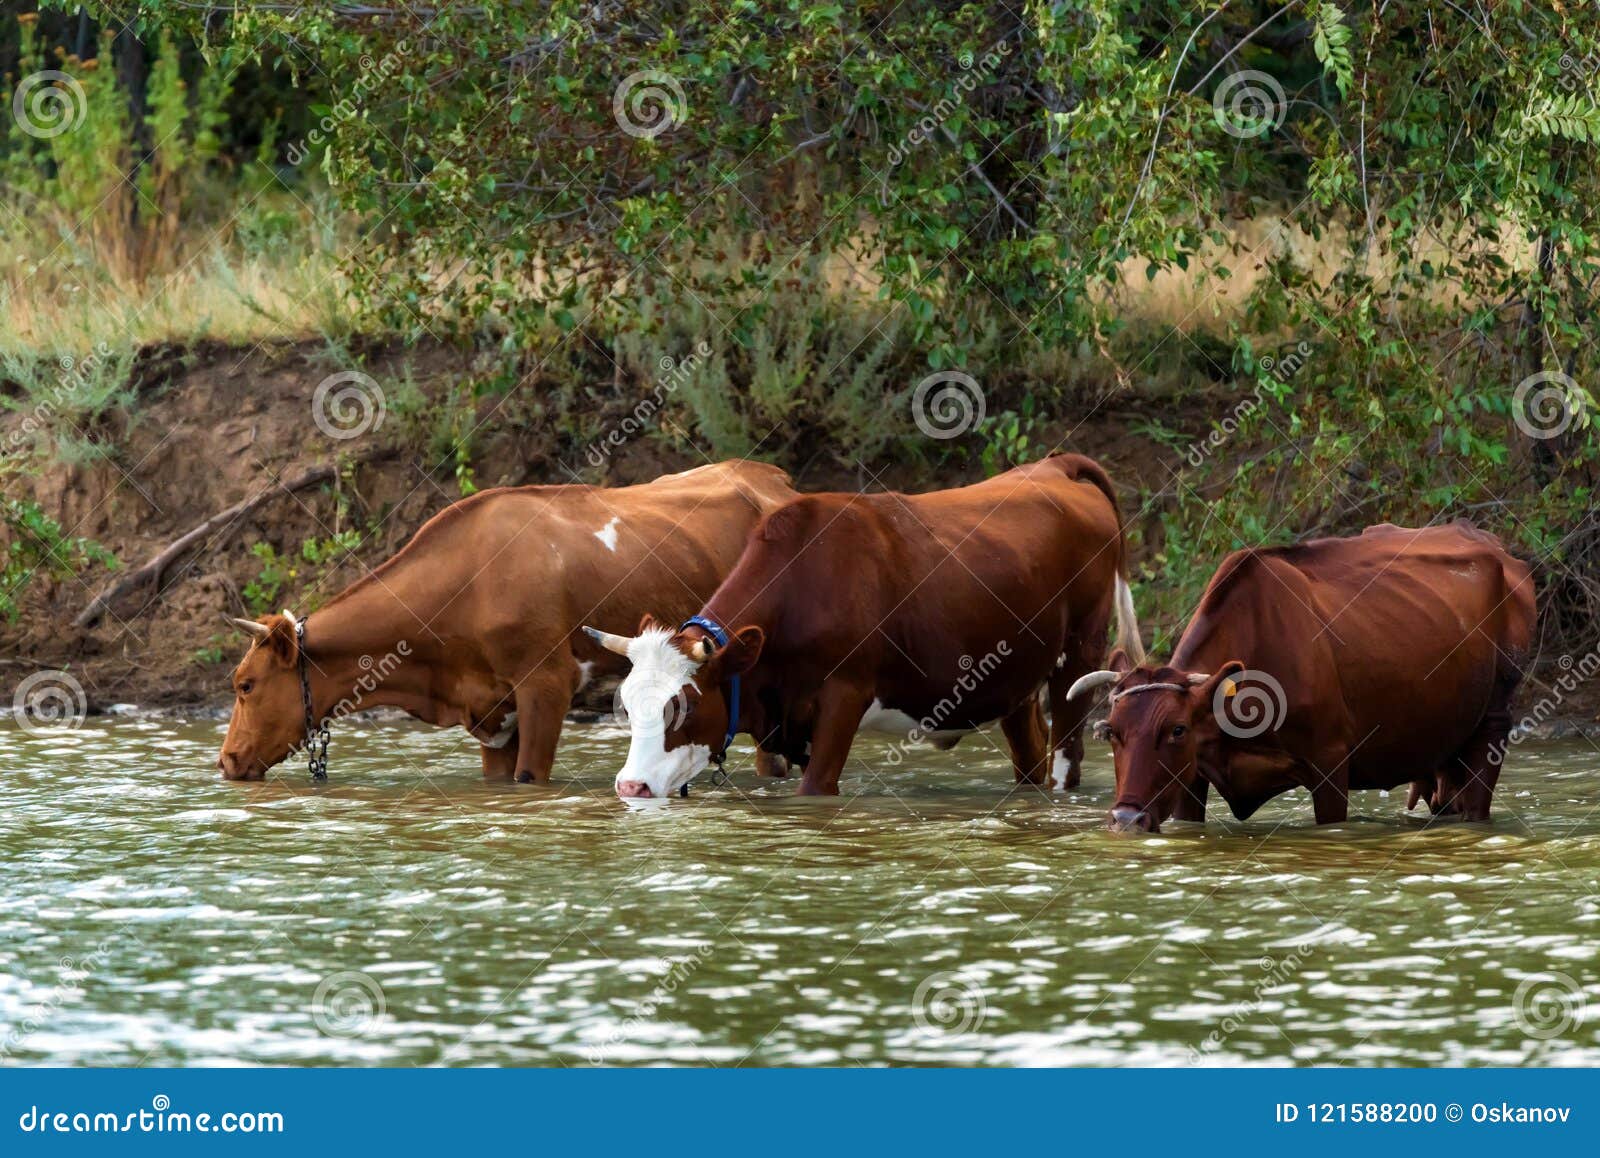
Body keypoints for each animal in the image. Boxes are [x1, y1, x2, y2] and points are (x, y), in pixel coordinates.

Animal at [216, 461, 797, 782]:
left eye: (245, 684)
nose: (225, 761)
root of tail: (771, 478)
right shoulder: (489, 711)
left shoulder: (546, 686)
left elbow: (529, 776)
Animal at [585, 453, 1143, 799]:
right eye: (627, 704)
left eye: (684, 704)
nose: (631, 787)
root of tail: (1055, 466)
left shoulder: (844, 697)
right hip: (1016, 682)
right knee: (1029, 752)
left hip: (1079, 656)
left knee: (1066, 755)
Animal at [1066, 521, 1534, 833]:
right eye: (1111, 732)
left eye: (1177, 729)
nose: (1126, 818)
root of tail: (1497, 549)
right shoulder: (1194, 776)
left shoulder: (1331, 763)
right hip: (1439, 748)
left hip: (1493, 719)